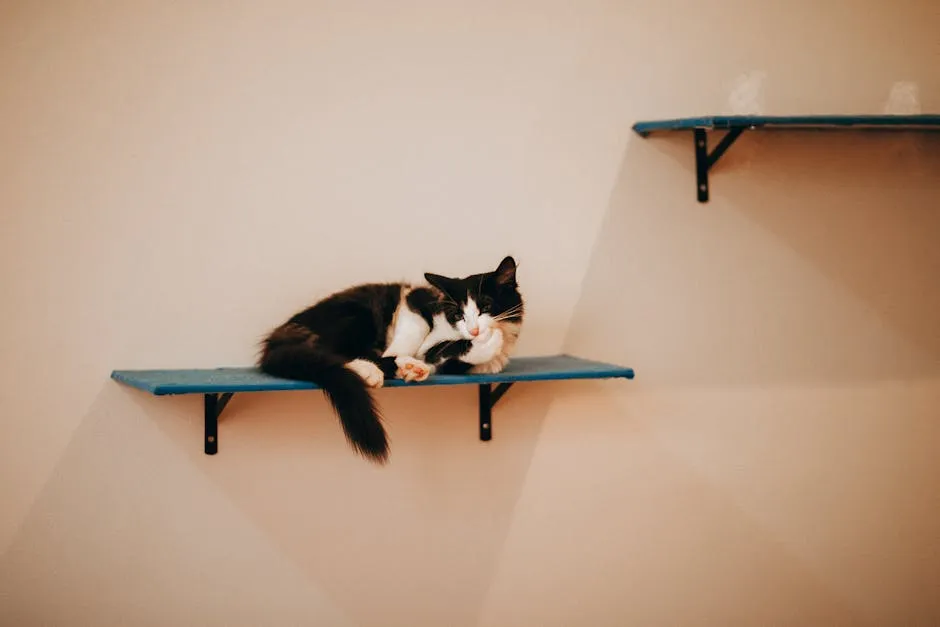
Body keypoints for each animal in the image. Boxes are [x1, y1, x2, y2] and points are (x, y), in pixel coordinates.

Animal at [258, 256, 520, 466]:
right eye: (458, 315)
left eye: (486, 306)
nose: (474, 330)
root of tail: (279, 336)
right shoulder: (414, 302)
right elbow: (421, 337)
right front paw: (489, 341)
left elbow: (451, 356)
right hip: (356, 315)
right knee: (331, 353)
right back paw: (379, 367)